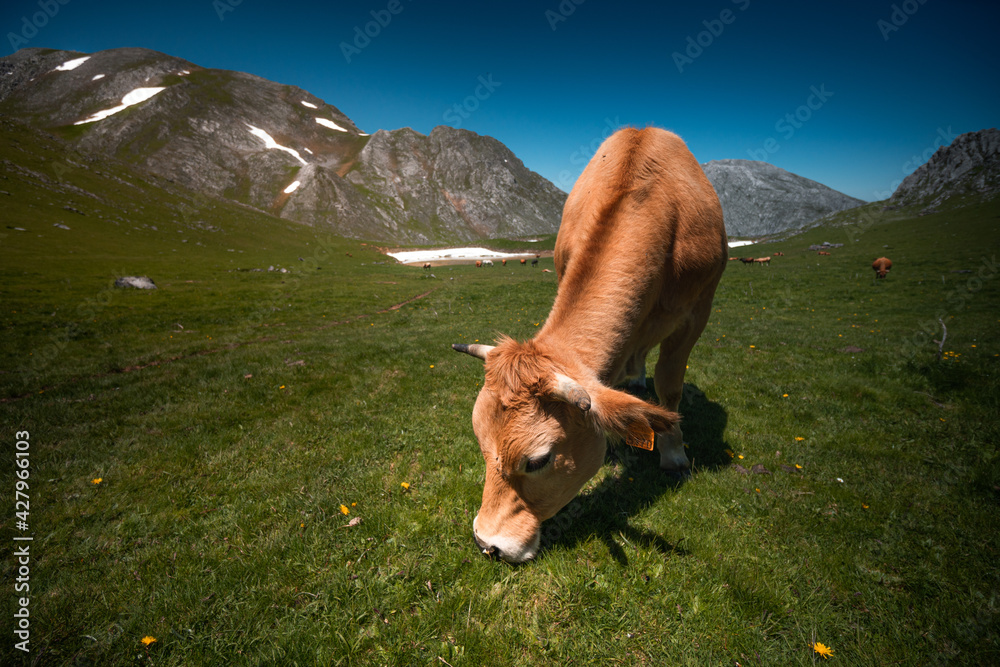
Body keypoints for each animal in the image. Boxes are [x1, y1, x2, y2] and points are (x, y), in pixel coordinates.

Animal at [452, 127, 727, 562]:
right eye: (480, 443)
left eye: (538, 461)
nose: (487, 543)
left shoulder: (698, 312)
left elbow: (670, 387)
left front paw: (674, 453)